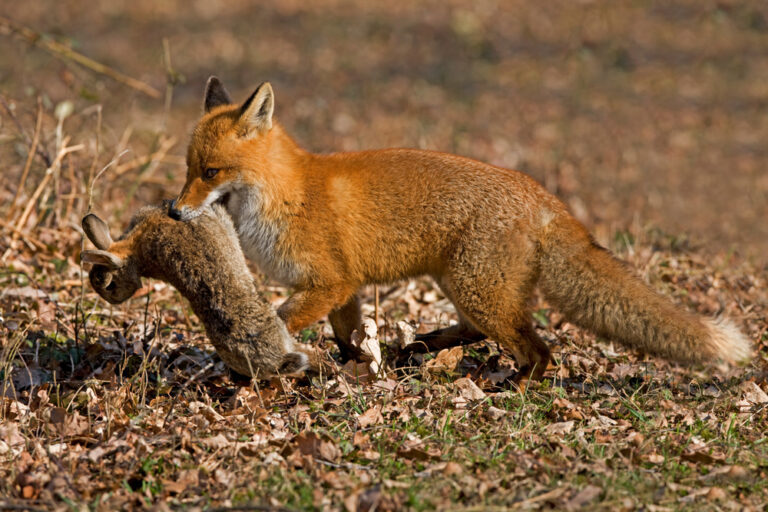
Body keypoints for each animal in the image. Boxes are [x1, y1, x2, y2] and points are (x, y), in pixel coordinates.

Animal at [168, 76, 752, 381]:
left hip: (476, 288)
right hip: (464, 284)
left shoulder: (330, 281)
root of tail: (543, 195)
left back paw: (515, 387)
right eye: (187, 169)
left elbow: (279, 317)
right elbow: (347, 337)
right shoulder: (344, 288)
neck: (286, 194)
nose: (174, 212)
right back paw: (424, 347)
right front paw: (357, 369)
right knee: (483, 330)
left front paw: (250, 352)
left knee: (537, 351)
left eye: (211, 173)